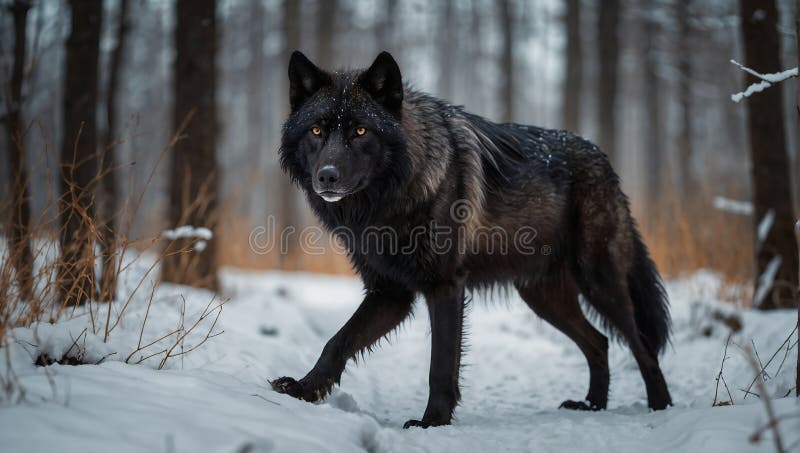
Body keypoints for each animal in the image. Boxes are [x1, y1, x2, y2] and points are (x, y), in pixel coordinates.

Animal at [272, 51, 672, 428]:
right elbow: (336, 342)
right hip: (543, 298)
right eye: (317, 131)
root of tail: (603, 157)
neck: (389, 201)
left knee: (642, 345)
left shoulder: (445, 285)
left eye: (359, 132)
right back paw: (592, 405)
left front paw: (432, 421)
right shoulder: (390, 293)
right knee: (600, 343)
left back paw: (661, 406)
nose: (327, 176)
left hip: (599, 282)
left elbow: (440, 365)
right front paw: (304, 389)